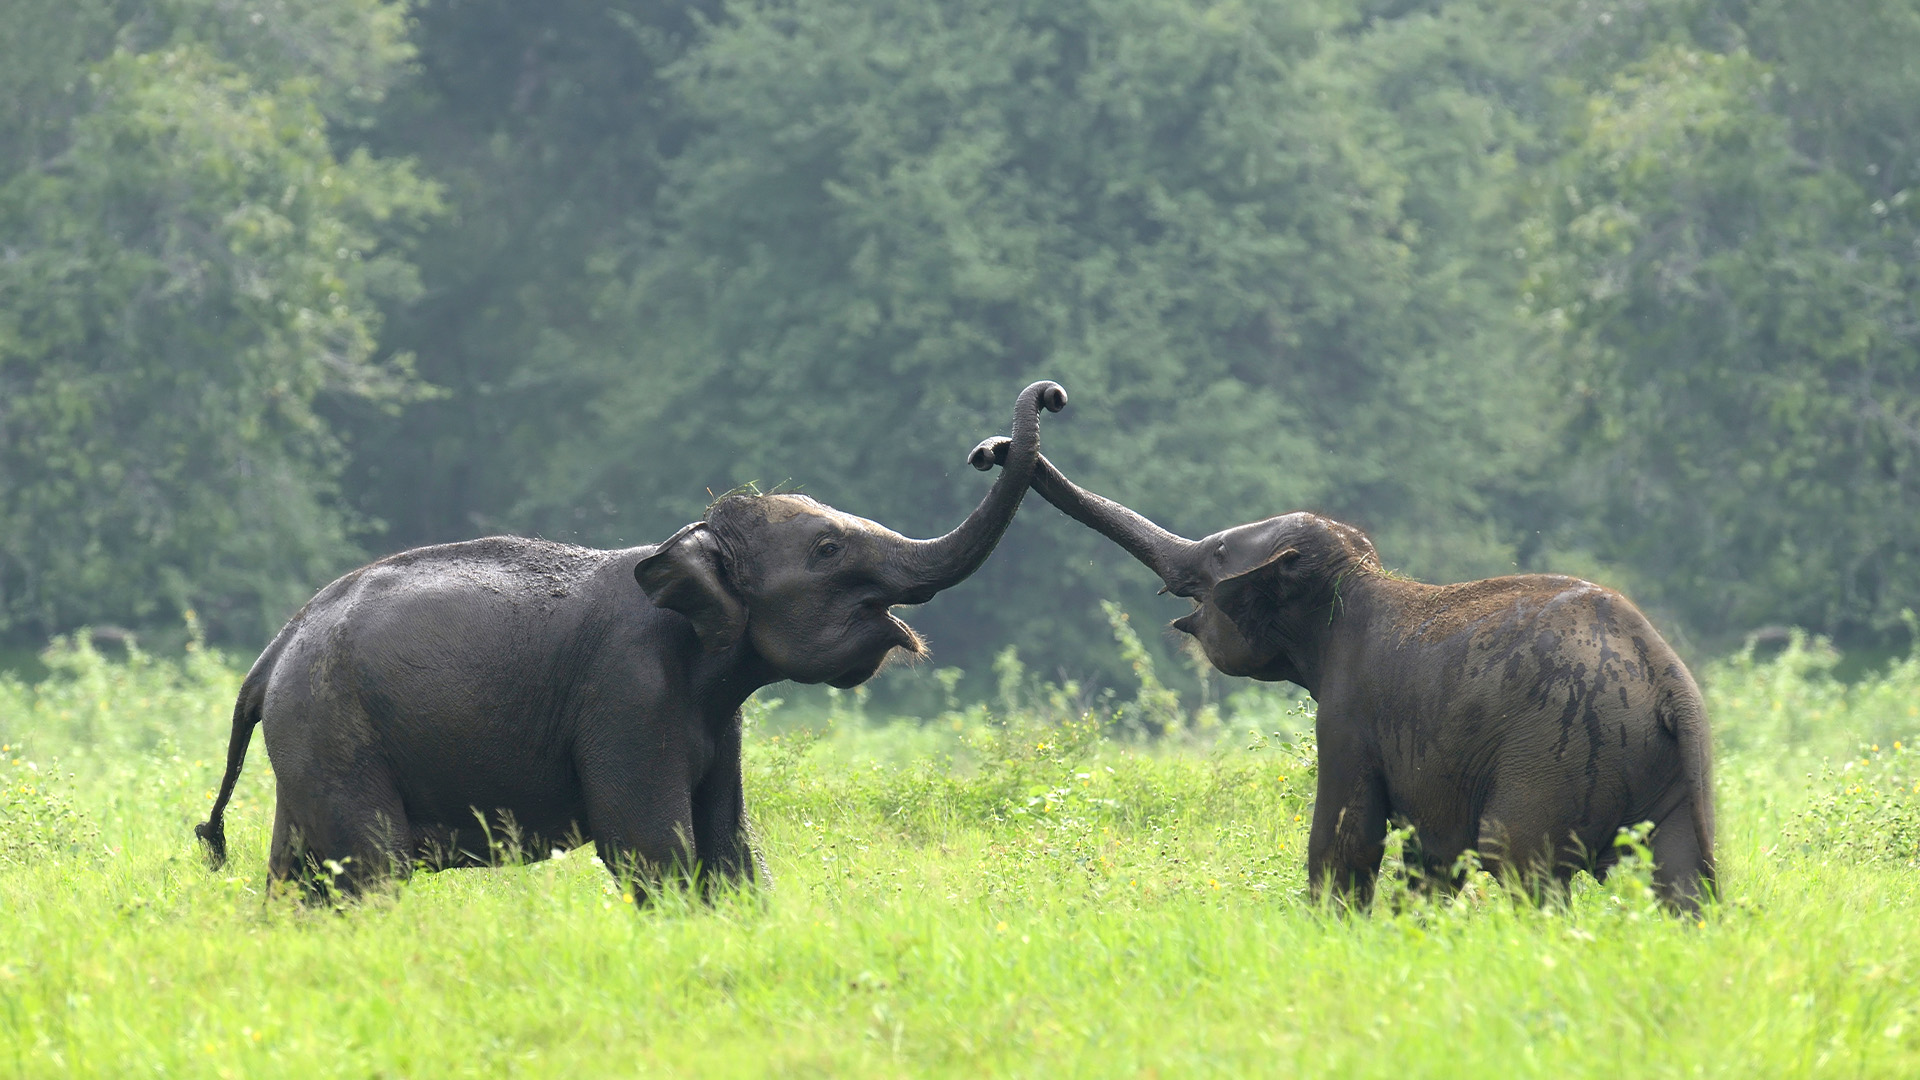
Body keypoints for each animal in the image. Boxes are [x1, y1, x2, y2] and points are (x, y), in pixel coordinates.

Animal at [194, 380, 1067, 899]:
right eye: (827, 550)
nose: (1042, 402)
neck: (681, 547)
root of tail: (272, 656)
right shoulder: (628, 694)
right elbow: (653, 849)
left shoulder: (716, 715)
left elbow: (731, 847)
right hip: (337, 728)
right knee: (364, 867)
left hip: (313, 739)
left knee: (301, 874)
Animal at [970, 437, 1714, 912]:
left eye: (1218, 553)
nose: (991, 449)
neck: (1358, 580)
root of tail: (1663, 678)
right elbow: (1428, 859)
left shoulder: (1350, 713)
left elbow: (1346, 841)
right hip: (1675, 770)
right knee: (1685, 883)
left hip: (1553, 756)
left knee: (1521, 868)